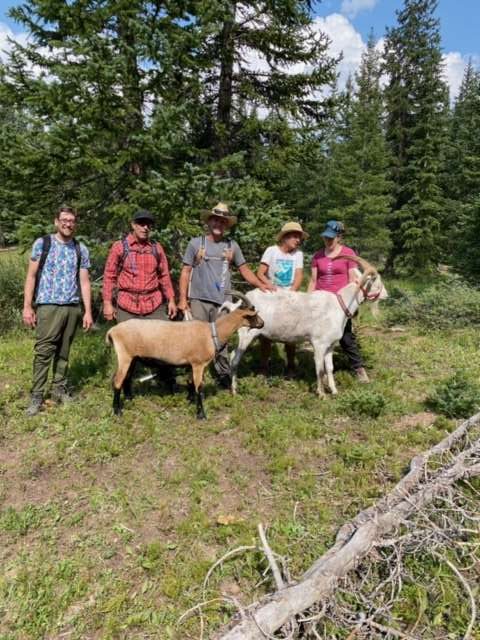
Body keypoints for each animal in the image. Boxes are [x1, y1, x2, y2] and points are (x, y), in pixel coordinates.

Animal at [106, 292, 264, 419]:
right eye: (254, 315)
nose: (262, 324)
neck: (212, 332)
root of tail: (112, 331)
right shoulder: (198, 364)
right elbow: (199, 387)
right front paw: (201, 415)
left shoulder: (193, 364)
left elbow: (191, 382)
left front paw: (190, 400)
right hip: (124, 356)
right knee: (117, 381)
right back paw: (117, 411)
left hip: (132, 357)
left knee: (127, 378)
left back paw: (129, 400)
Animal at [228, 255, 387, 396]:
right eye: (378, 283)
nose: (386, 295)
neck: (338, 305)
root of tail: (240, 303)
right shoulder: (319, 343)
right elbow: (320, 369)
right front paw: (321, 394)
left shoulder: (330, 345)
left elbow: (330, 368)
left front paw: (334, 391)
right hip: (246, 334)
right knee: (235, 359)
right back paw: (234, 391)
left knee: (232, 355)